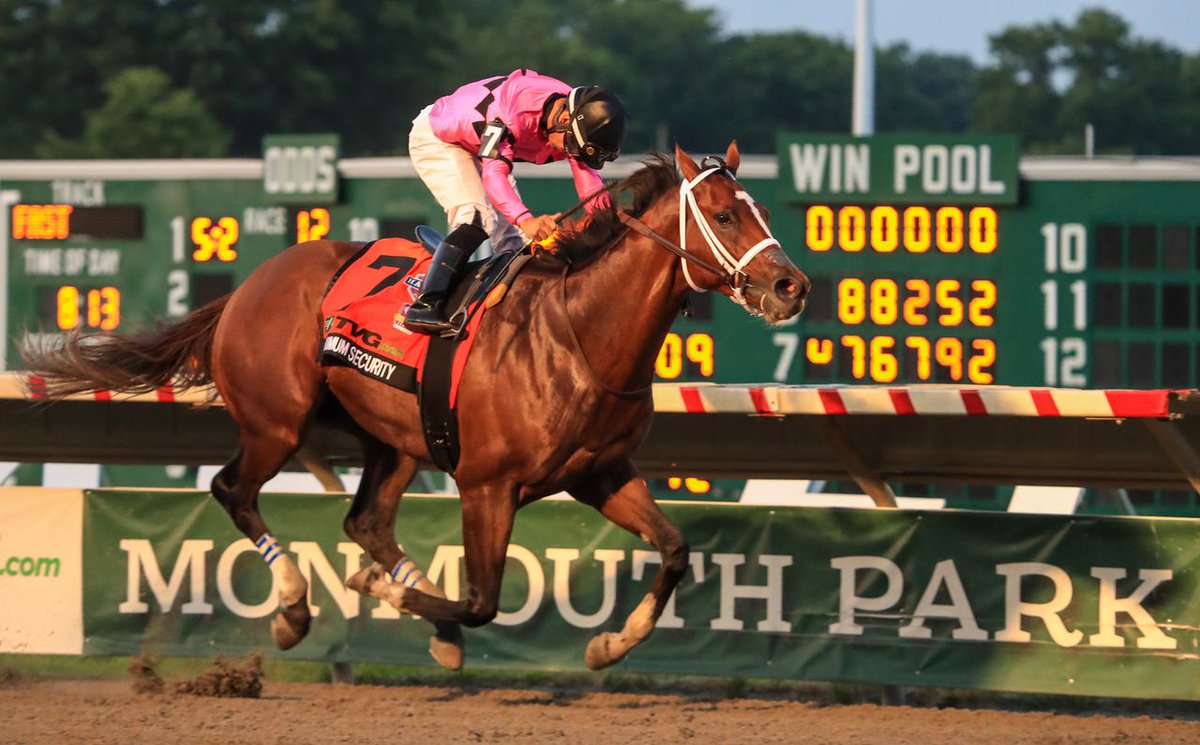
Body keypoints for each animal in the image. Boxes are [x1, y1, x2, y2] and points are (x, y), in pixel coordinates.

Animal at [23, 142, 810, 671]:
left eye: (764, 209)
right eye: (722, 214)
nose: (791, 286)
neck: (579, 334)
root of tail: (249, 284)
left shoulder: (601, 473)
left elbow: (675, 549)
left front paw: (610, 643)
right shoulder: (488, 484)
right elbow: (483, 599)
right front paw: (395, 600)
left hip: (394, 439)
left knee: (366, 519)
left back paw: (406, 607)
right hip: (276, 422)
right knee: (233, 490)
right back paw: (294, 609)